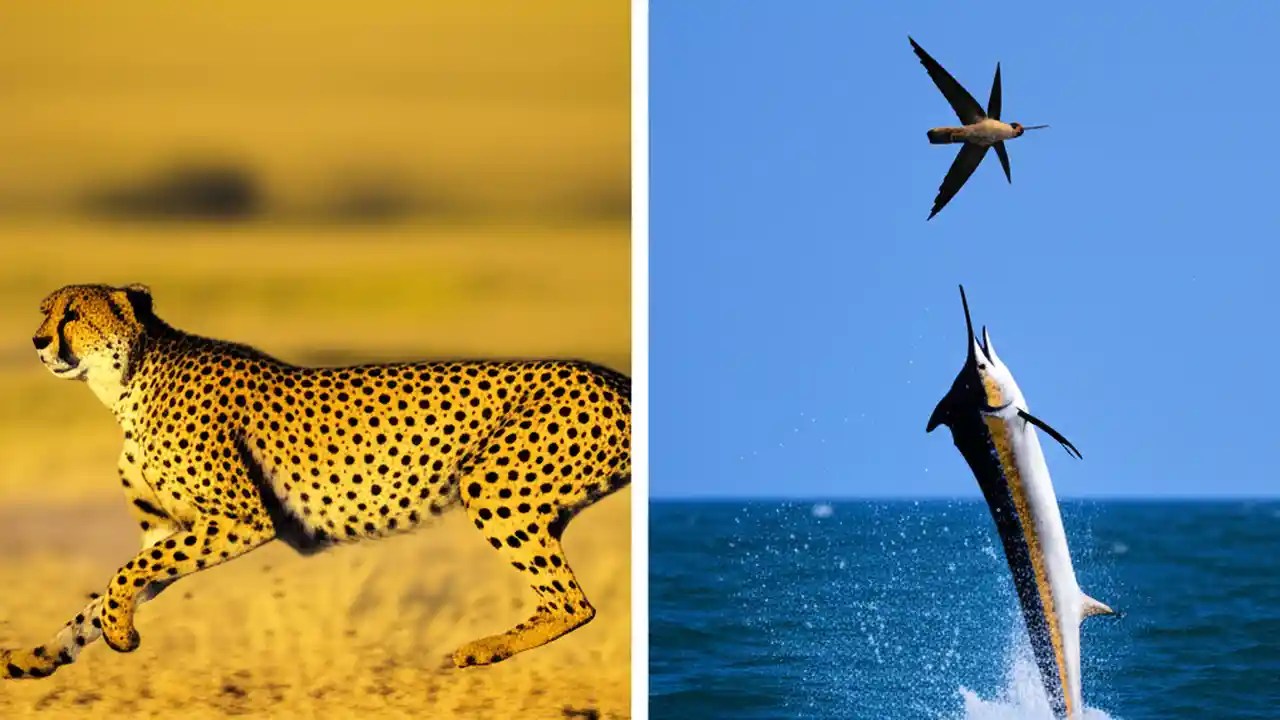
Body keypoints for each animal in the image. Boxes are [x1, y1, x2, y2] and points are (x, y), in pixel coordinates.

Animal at [0, 283, 630, 679]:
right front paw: (41, 654)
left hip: (493, 485)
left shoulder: (240, 520)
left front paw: (120, 634)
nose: (36, 341)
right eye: (44, 312)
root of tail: (610, 376)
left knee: (575, 602)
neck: (127, 382)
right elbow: (109, 589)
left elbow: (123, 575)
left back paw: (480, 650)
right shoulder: (168, 530)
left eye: (73, 315)